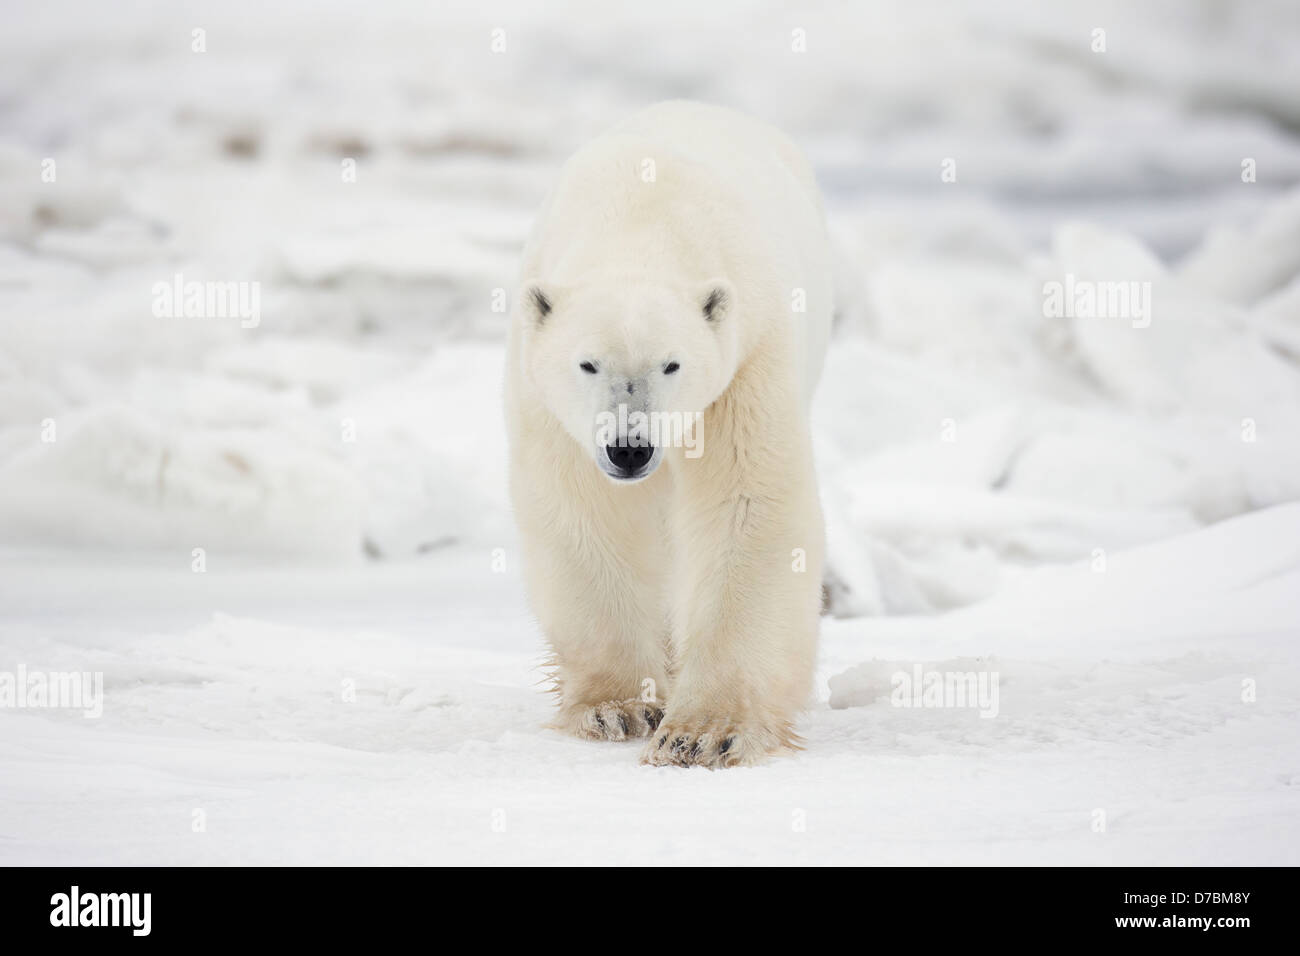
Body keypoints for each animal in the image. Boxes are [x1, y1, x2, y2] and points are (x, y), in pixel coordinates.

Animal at [504, 101, 833, 768]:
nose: (630, 449)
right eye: (587, 363)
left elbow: (747, 506)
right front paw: (618, 708)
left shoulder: (746, 362)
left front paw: (703, 733)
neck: (645, 220)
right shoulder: (550, 404)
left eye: (672, 364)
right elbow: (586, 512)